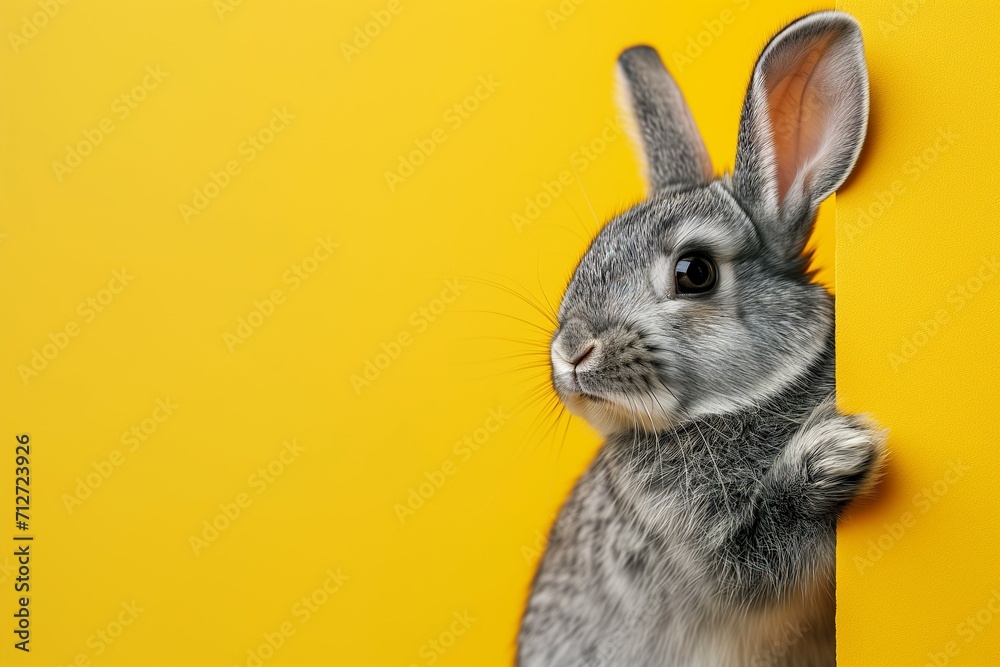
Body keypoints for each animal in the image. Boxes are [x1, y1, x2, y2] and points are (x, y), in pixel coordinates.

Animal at [517, 11, 886, 667]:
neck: (746, 402)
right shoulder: (709, 548)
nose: (571, 352)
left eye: (695, 272)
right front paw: (837, 455)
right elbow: (762, 558)